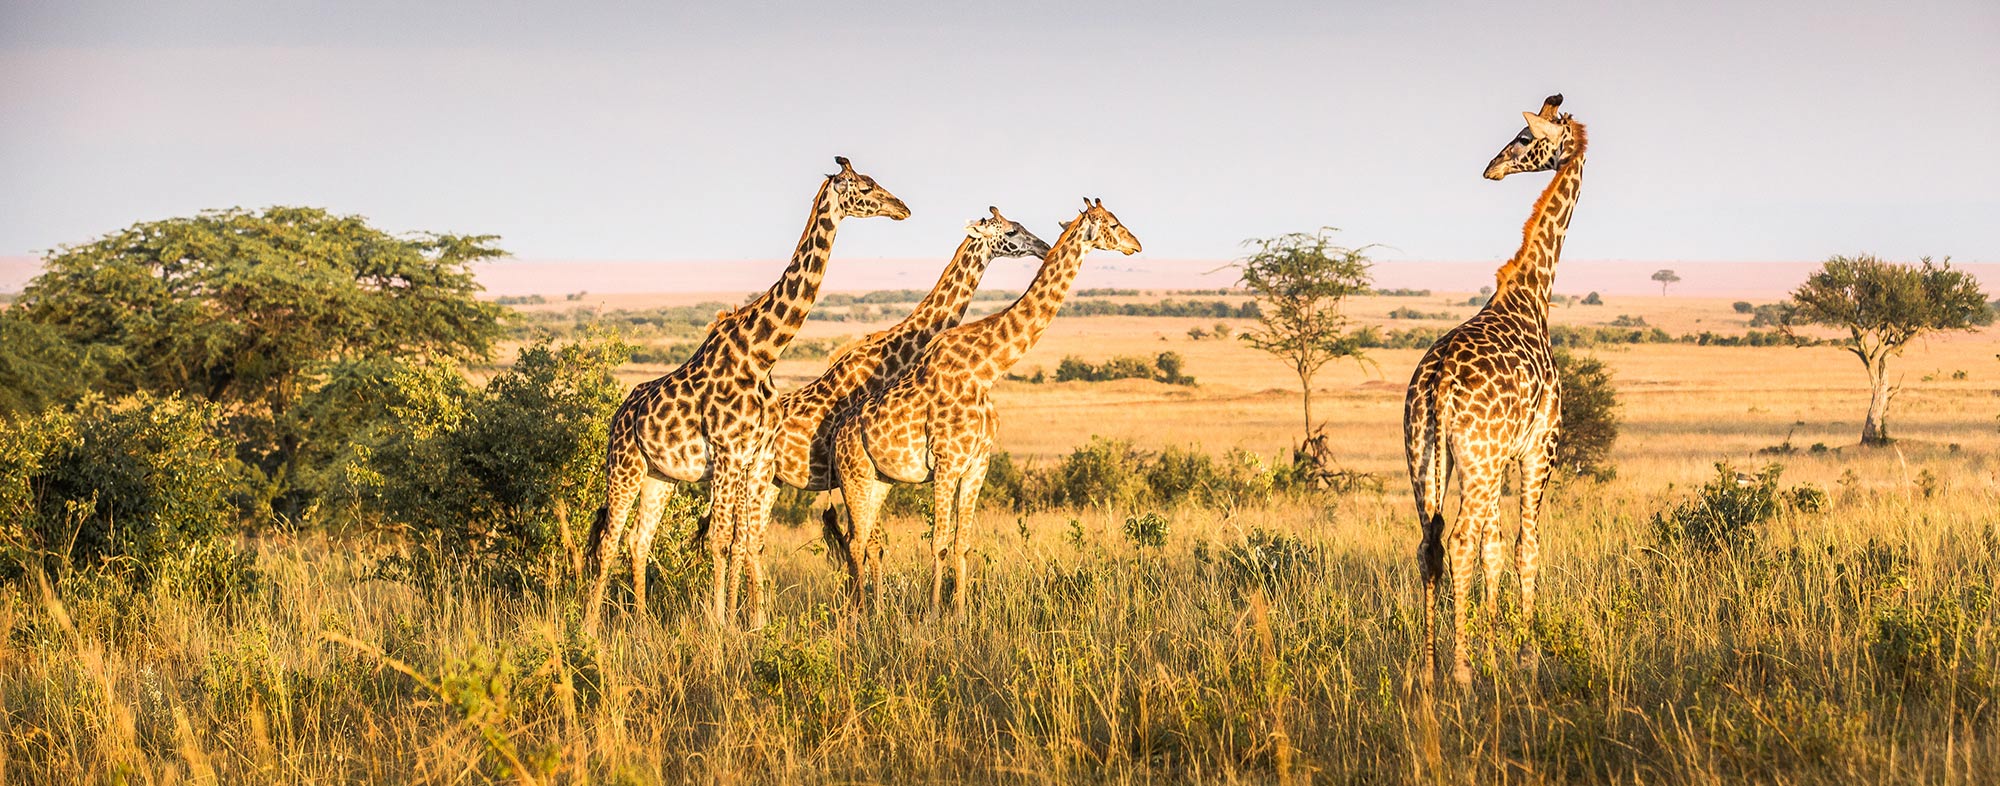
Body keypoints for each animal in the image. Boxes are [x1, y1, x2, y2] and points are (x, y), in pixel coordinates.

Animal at [581, 156, 909, 629]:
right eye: (864, 186)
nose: (902, 207)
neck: (762, 354)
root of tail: (619, 415)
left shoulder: (757, 459)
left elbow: (743, 539)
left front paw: (746, 623)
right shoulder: (728, 454)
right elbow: (720, 539)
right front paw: (720, 624)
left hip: (660, 476)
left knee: (639, 540)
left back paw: (641, 625)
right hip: (624, 465)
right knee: (609, 539)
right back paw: (589, 628)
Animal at [713, 209, 1051, 628]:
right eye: (1012, 231)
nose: (1043, 247)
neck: (896, 357)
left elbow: (873, 545)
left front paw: (874, 610)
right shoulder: (858, 469)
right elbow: (865, 543)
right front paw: (866, 612)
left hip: (773, 483)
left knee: (751, 541)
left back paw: (752, 614)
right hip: (754, 478)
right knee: (741, 540)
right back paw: (744, 618)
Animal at [831, 198, 1142, 614]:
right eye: (1112, 223)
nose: (1136, 244)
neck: (986, 369)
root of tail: (837, 435)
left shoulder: (978, 463)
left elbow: (962, 544)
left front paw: (961, 614)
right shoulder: (946, 463)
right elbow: (939, 542)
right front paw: (933, 614)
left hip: (880, 480)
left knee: (861, 540)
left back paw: (869, 613)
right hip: (855, 477)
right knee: (854, 541)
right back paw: (858, 615)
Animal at [1404, 94, 1587, 685]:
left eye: (1524, 138)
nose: (1492, 168)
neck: (1534, 292)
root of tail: (1438, 382)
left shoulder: (1501, 456)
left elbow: (1495, 549)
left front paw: (1491, 645)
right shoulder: (1538, 447)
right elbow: (1525, 547)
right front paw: (1522, 653)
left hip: (1426, 456)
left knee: (1430, 545)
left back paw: (1432, 668)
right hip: (1480, 461)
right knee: (1458, 541)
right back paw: (1460, 671)